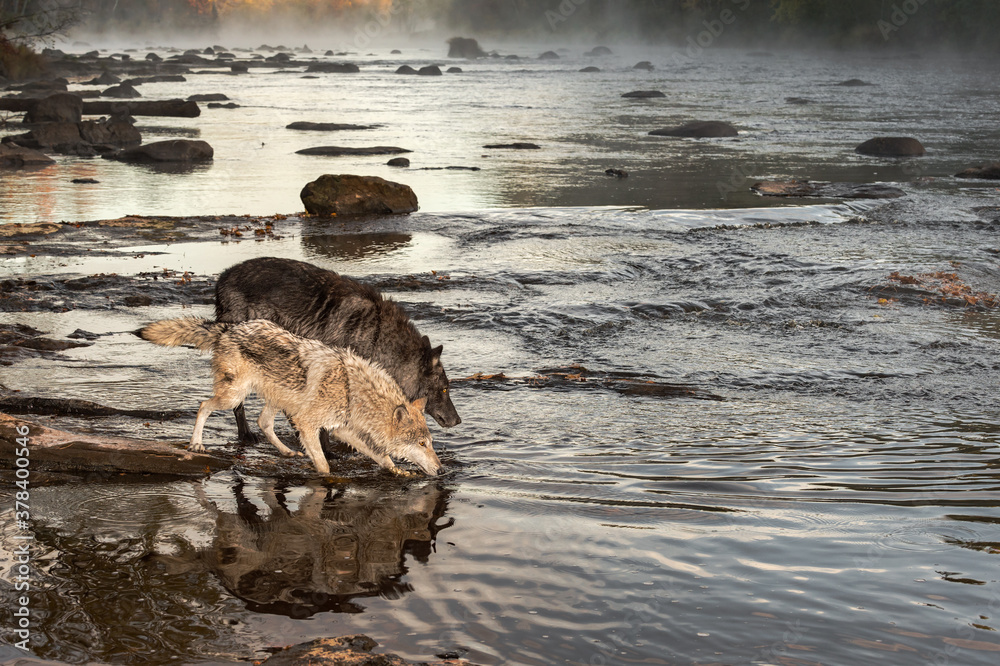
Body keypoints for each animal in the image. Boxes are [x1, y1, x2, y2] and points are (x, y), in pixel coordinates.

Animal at [137, 317, 442, 476]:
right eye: (422, 444)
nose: (440, 471)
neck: (351, 389)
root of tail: (228, 328)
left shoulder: (342, 429)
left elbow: (379, 454)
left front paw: (397, 471)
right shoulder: (308, 424)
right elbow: (323, 464)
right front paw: (328, 480)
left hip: (276, 399)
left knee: (263, 423)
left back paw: (285, 451)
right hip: (234, 397)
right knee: (203, 405)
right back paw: (196, 444)